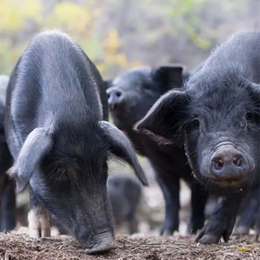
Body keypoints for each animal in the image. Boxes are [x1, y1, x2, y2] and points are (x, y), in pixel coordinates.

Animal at [105, 65, 207, 236]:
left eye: (145, 86)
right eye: (114, 85)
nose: (114, 91)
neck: (169, 154)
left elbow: (196, 198)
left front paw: (191, 232)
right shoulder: (160, 168)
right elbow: (170, 198)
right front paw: (165, 233)